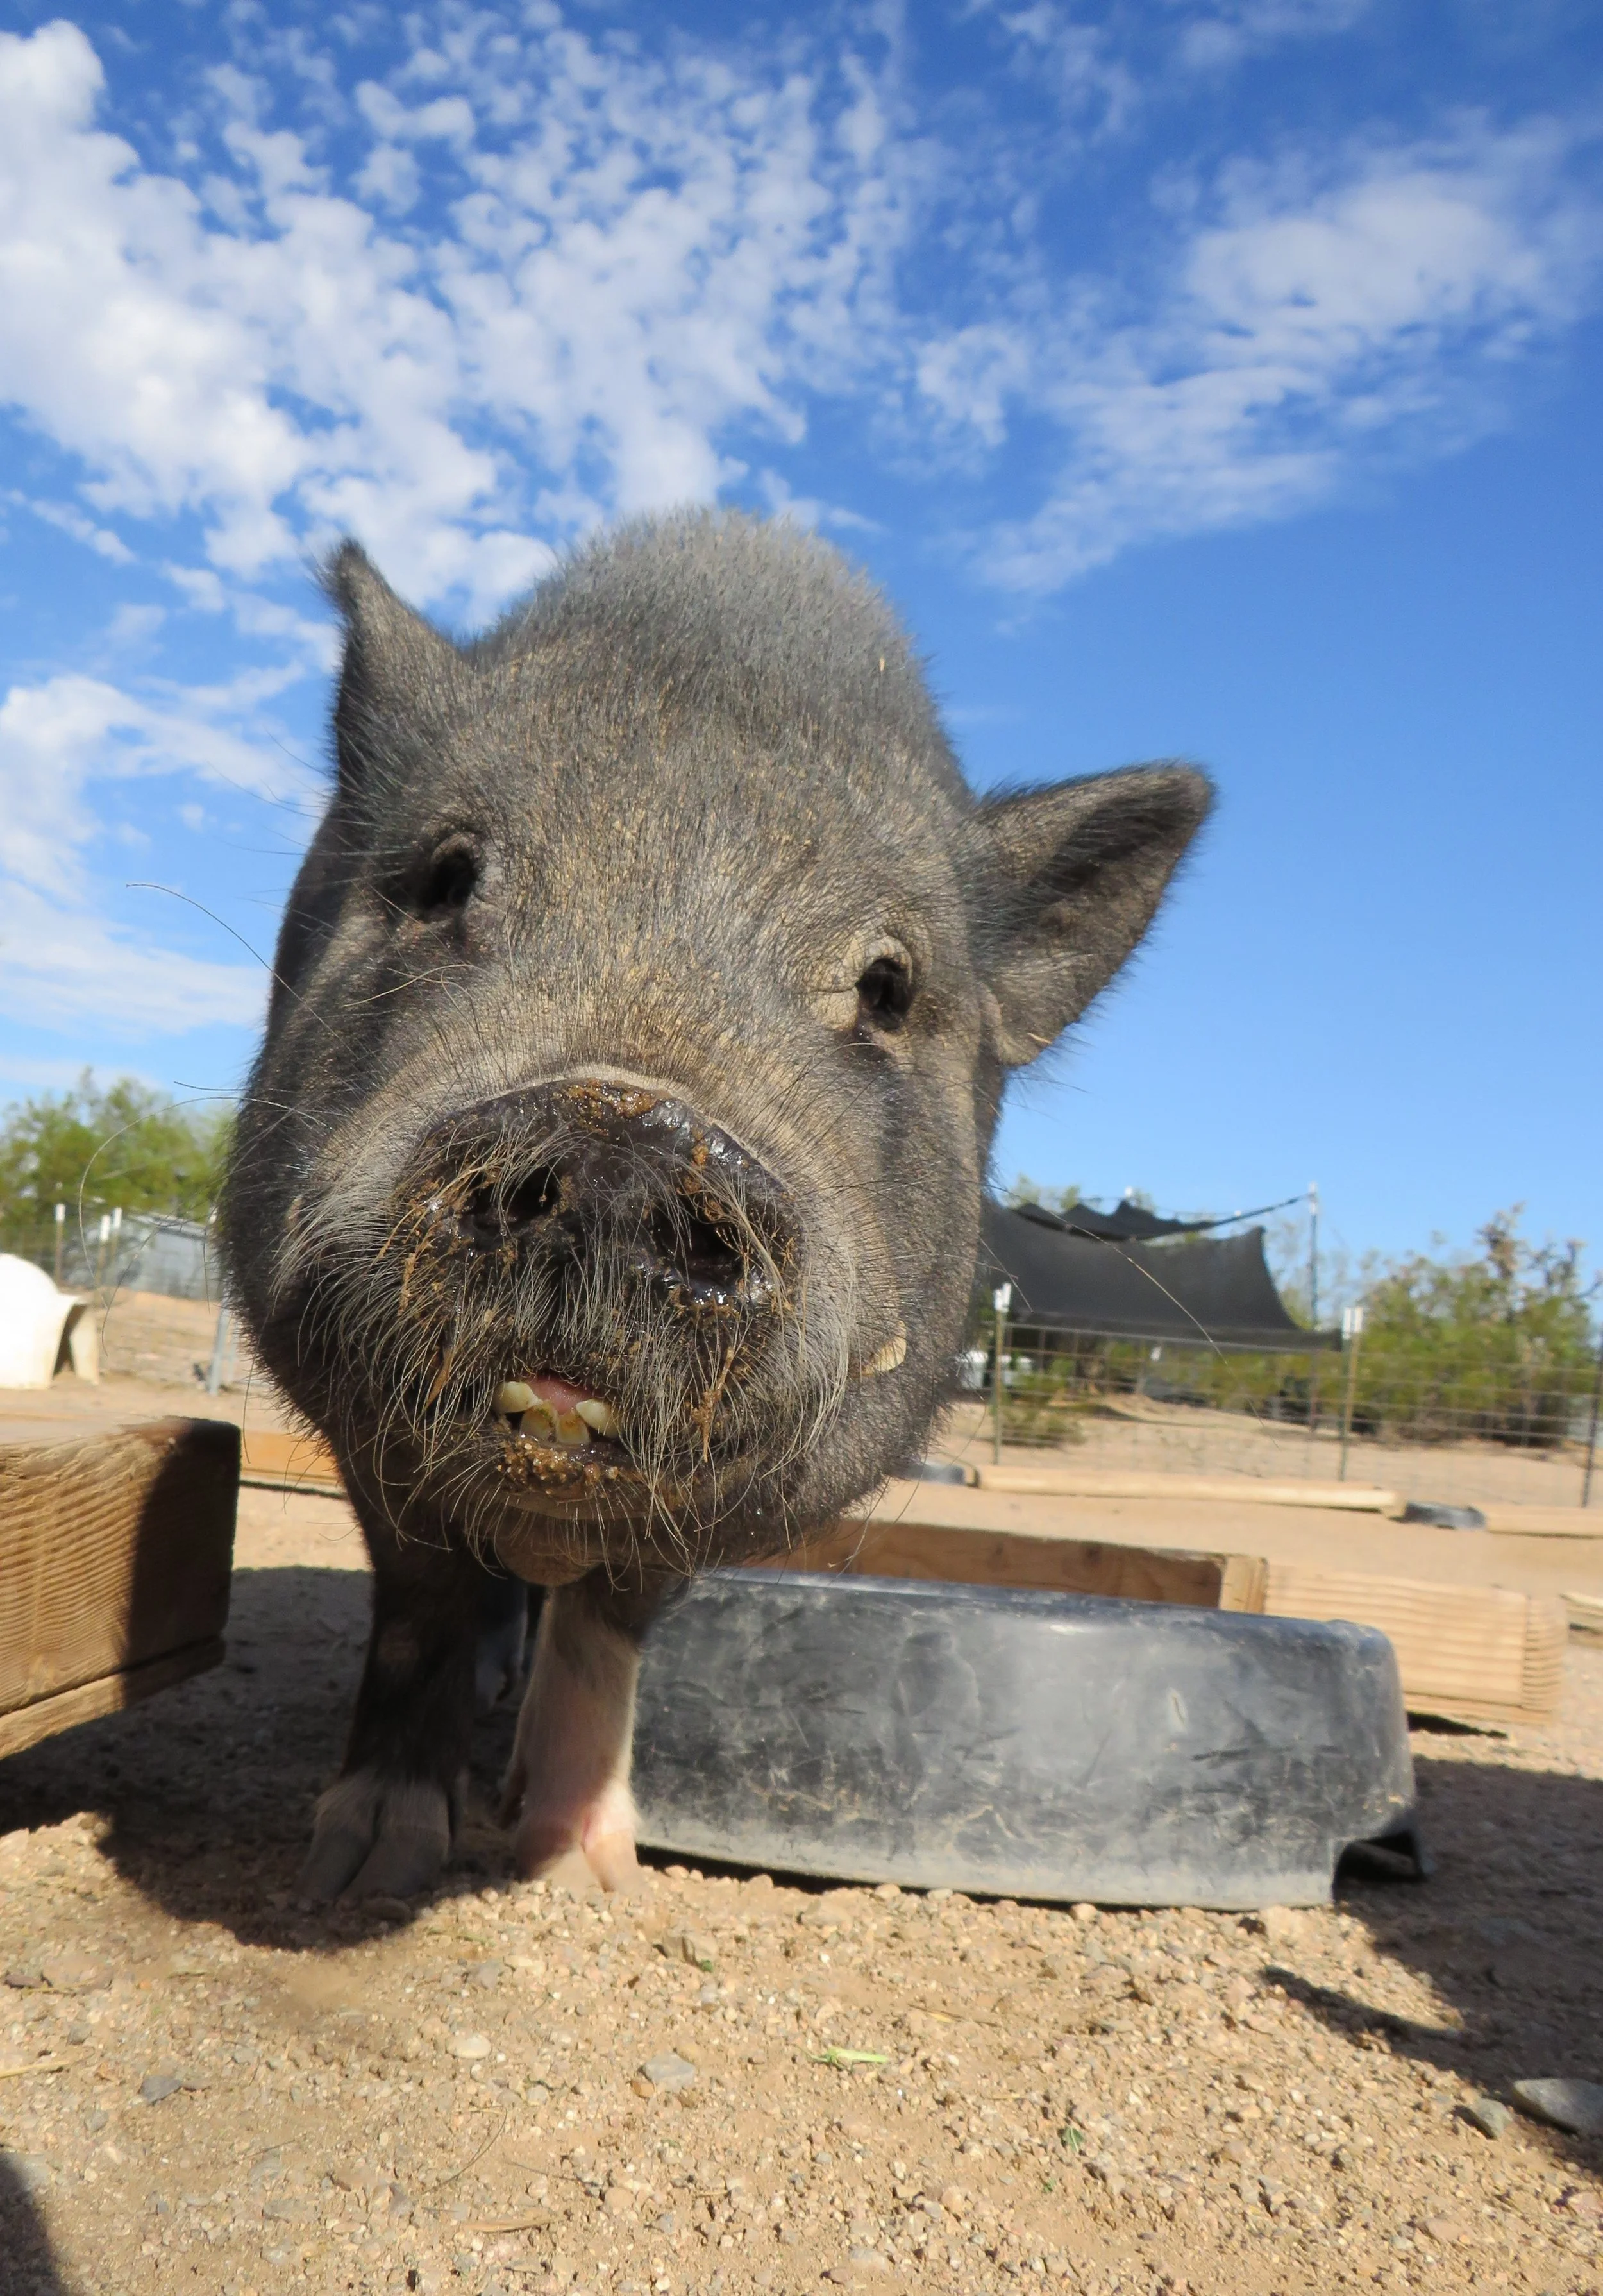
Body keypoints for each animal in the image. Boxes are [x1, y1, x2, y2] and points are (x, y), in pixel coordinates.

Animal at [222, 512, 1209, 1901]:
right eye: (446, 877)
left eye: (888, 984)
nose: (625, 1129)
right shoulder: (339, 1376)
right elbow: (419, 1604)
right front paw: (371, 1857)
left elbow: (611, 1623)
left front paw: (581, 1872)